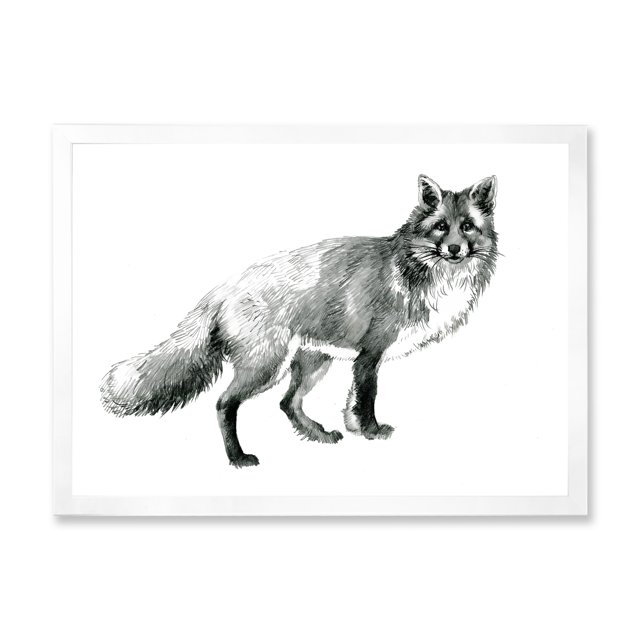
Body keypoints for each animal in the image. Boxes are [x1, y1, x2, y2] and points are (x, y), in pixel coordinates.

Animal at [101, 174, 498, 467]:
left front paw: (355, 430)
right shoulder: (371, 353)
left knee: (287, 404)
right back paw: (238, 458)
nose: (455, 250)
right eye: (441, 226)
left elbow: (352, 404)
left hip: (312, 362)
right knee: (224, 404)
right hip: (266, 366)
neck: (420, 273)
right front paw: (372, 432)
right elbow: (367, 399)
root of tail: (223, 288)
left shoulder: (358, 359)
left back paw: (318, 435)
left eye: (468, 226)